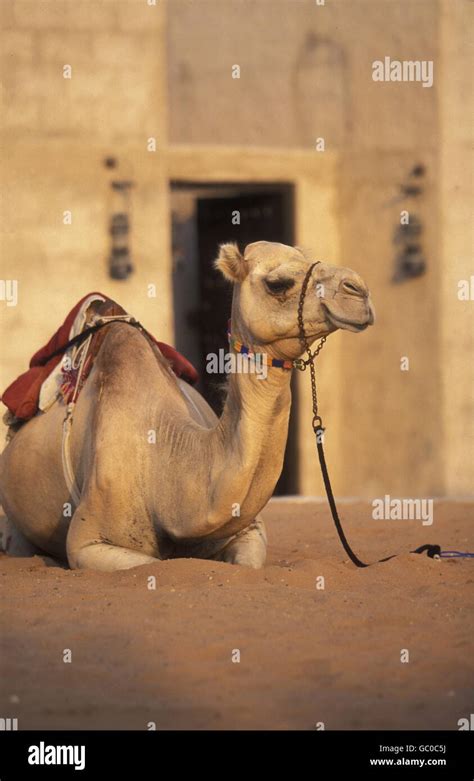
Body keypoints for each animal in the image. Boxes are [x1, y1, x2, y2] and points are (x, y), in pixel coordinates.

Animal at [0, 241, 374, 571]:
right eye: (278, 283)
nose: (359, 289)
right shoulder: (87, 542)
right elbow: (152, 563)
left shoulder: (250, 529)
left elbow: (247, 563)